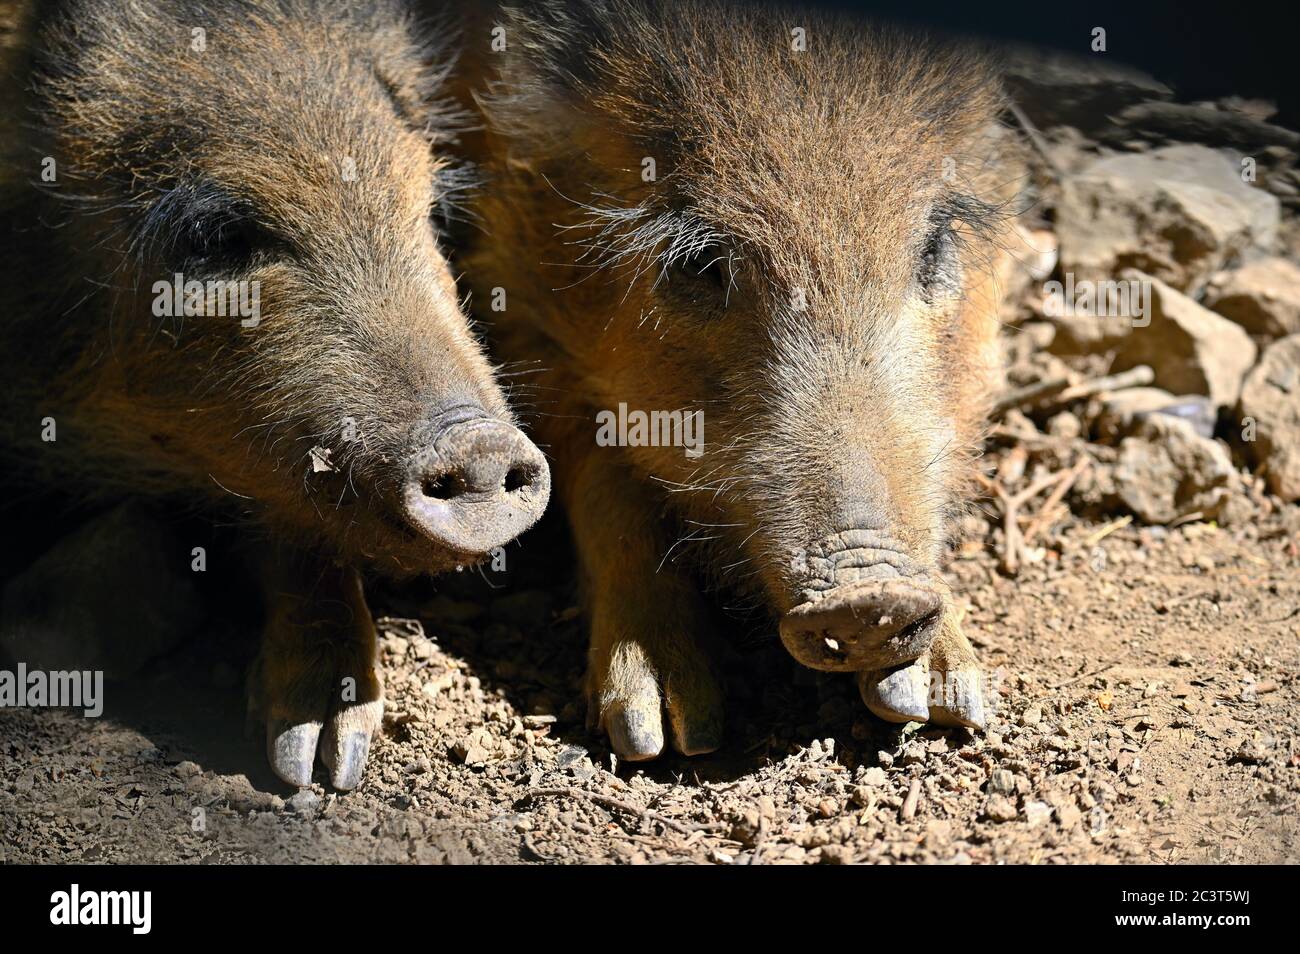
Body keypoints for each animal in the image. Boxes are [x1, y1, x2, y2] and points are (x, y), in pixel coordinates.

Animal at [461, 0, 1015, 759]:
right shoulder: (507, 285)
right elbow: (595, 476)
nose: (871, 599)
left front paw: (950, 705)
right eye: (699, 264)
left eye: (933, 248)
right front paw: (663, 740)